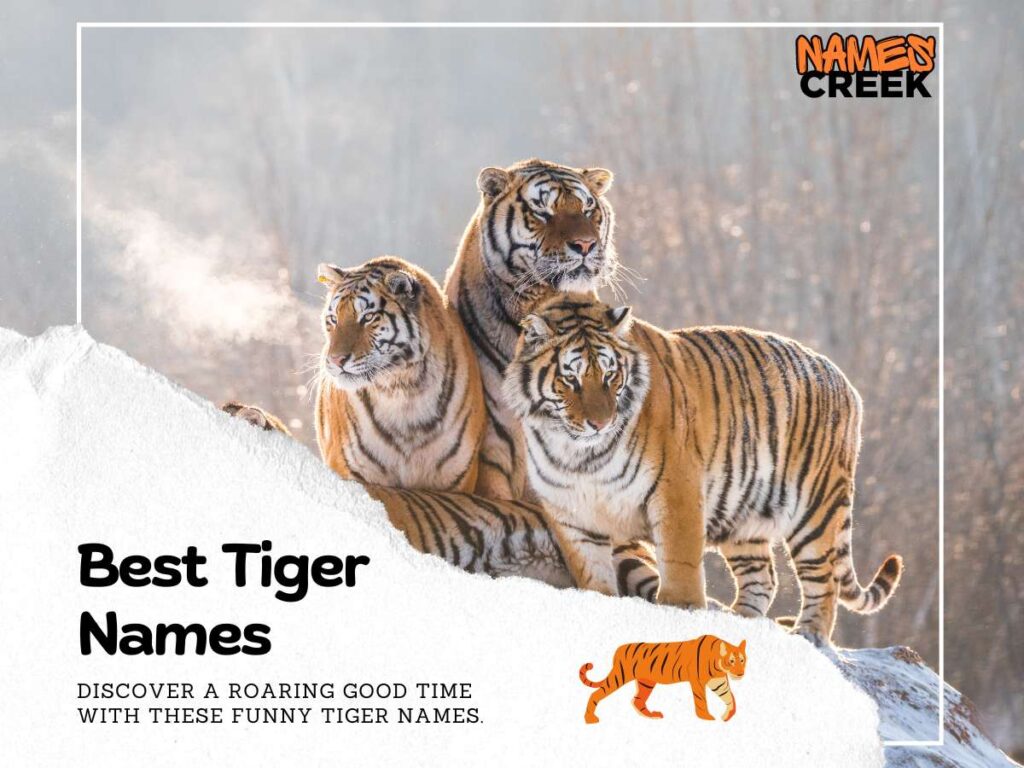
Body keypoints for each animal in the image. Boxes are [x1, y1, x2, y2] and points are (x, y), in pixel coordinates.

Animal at [502, 292, 904, 643]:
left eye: (610, 375)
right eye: (569, 378)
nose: (600, 424)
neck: (578, 456)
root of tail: (843, 379)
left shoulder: (674, 490)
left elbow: (679, 566)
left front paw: (678, 615)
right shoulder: (571, 514)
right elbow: (594, 579)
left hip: (814, 508)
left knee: (824, 580)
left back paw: (809, 634)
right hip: (744, 517)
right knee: (763, 580)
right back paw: (737, 623)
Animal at [579, 636, 747, 724]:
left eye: (742, 660)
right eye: (731, 661)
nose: (740, 674)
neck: (719, 666)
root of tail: (619, 649)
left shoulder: (719, 682)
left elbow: (729, 697)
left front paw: (728, 715)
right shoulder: (698, 681)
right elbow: (701, 701)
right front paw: (706, 717)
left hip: (646, 683)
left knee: (637, 700)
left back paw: (652, 716)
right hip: (619, 677)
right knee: (595, 694)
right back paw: (589, 719)